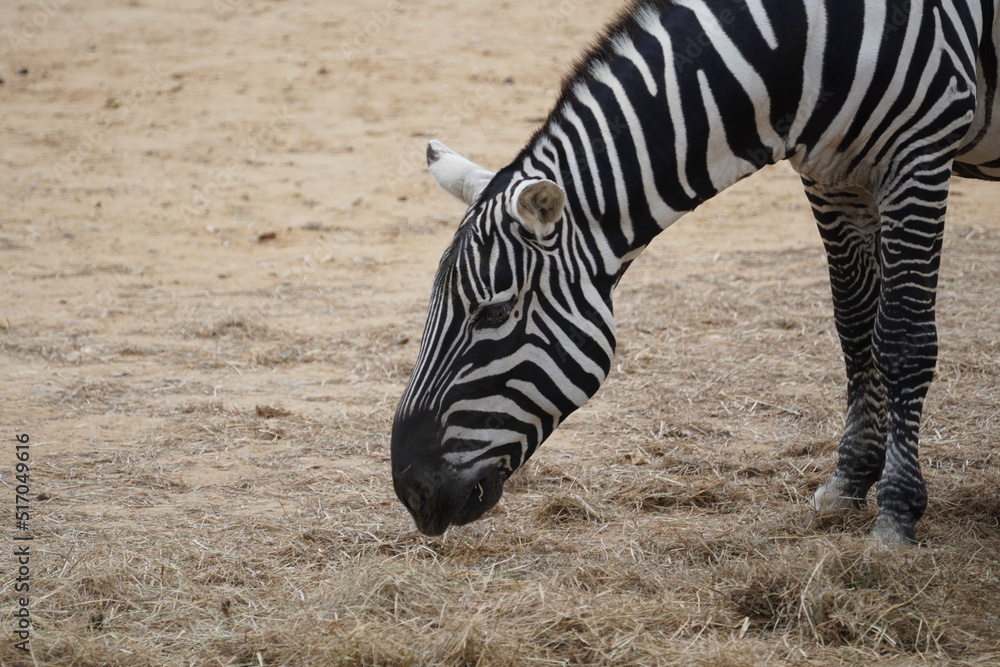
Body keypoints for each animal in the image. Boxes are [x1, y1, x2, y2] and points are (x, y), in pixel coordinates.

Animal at [391, 0, 1000, 544]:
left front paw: (896, 511)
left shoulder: (919, 152)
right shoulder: (829, 175)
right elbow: (855, 329)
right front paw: (849, 480)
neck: (798, 43)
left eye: (494, 310)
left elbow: (901, 338)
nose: (410, 491)